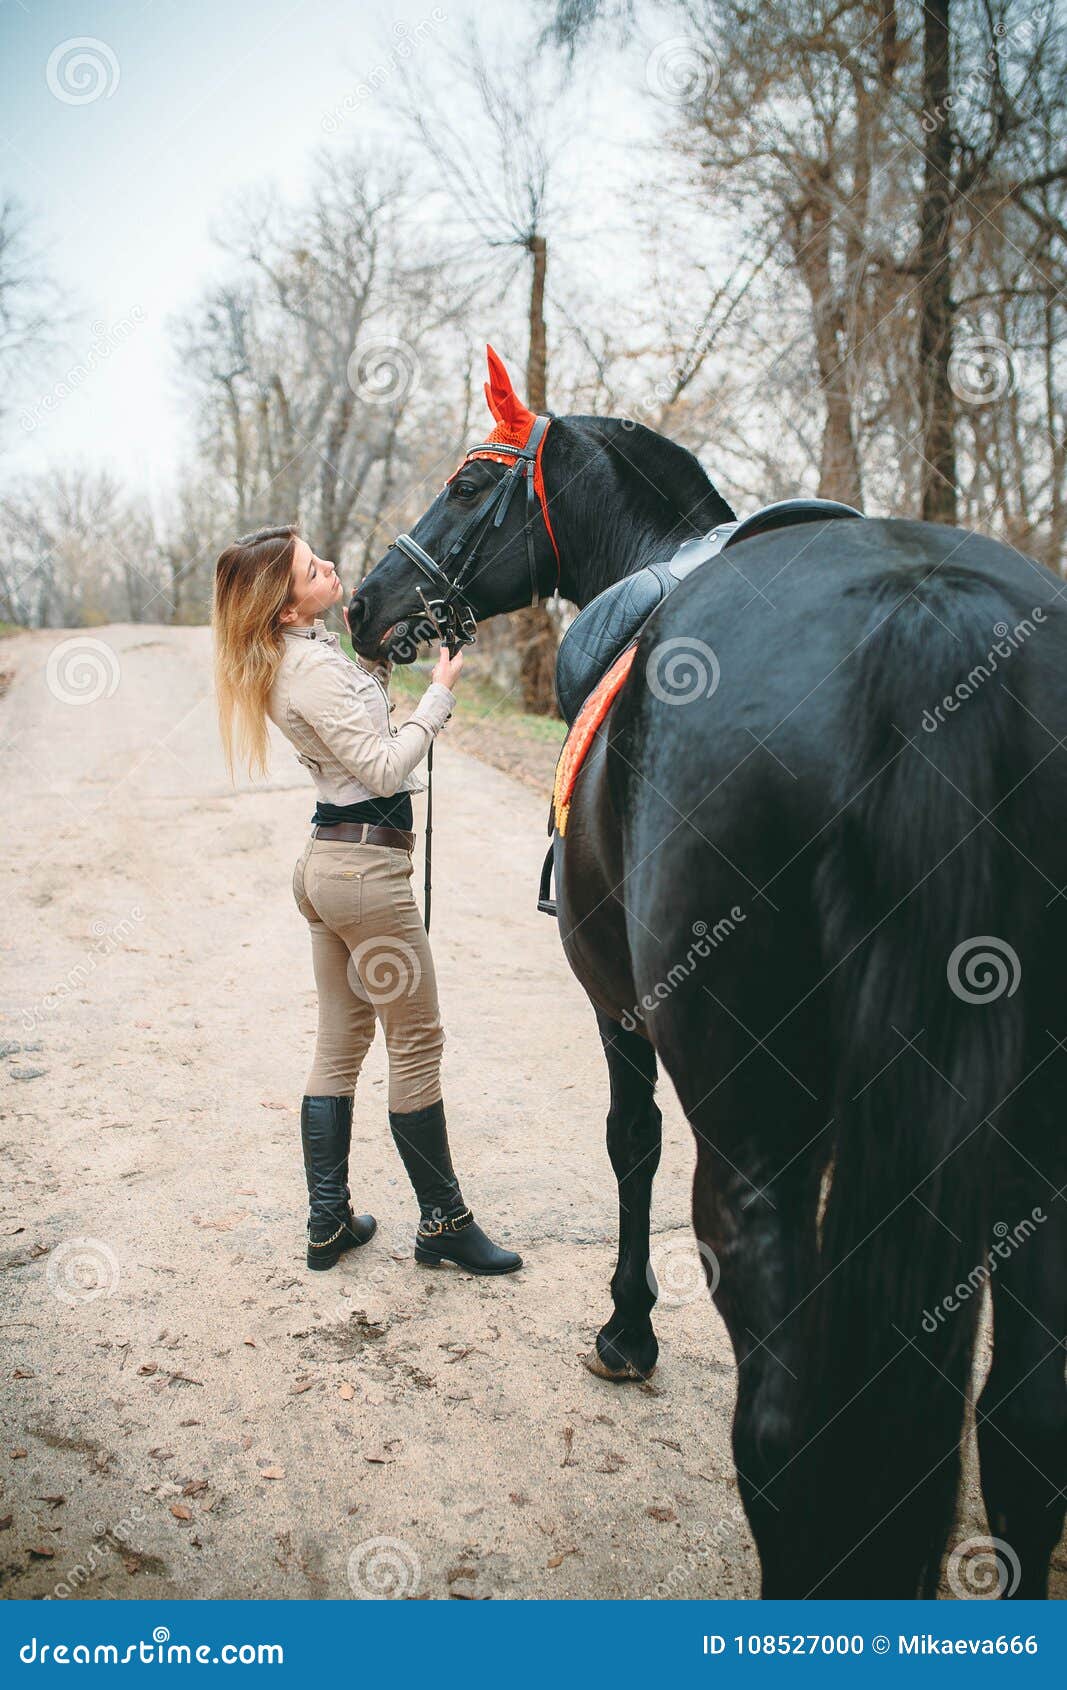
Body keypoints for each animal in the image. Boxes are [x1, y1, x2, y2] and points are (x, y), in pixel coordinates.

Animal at [349, 346, 1067, 1599]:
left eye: (467, 479)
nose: (366, 602)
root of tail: (929, 615)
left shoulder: (617, 1005)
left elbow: (627, 1146)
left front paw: (626, 1333)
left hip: (748, 1143)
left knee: (775, 1434)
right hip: (1034, 1156)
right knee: (1026, 1427)